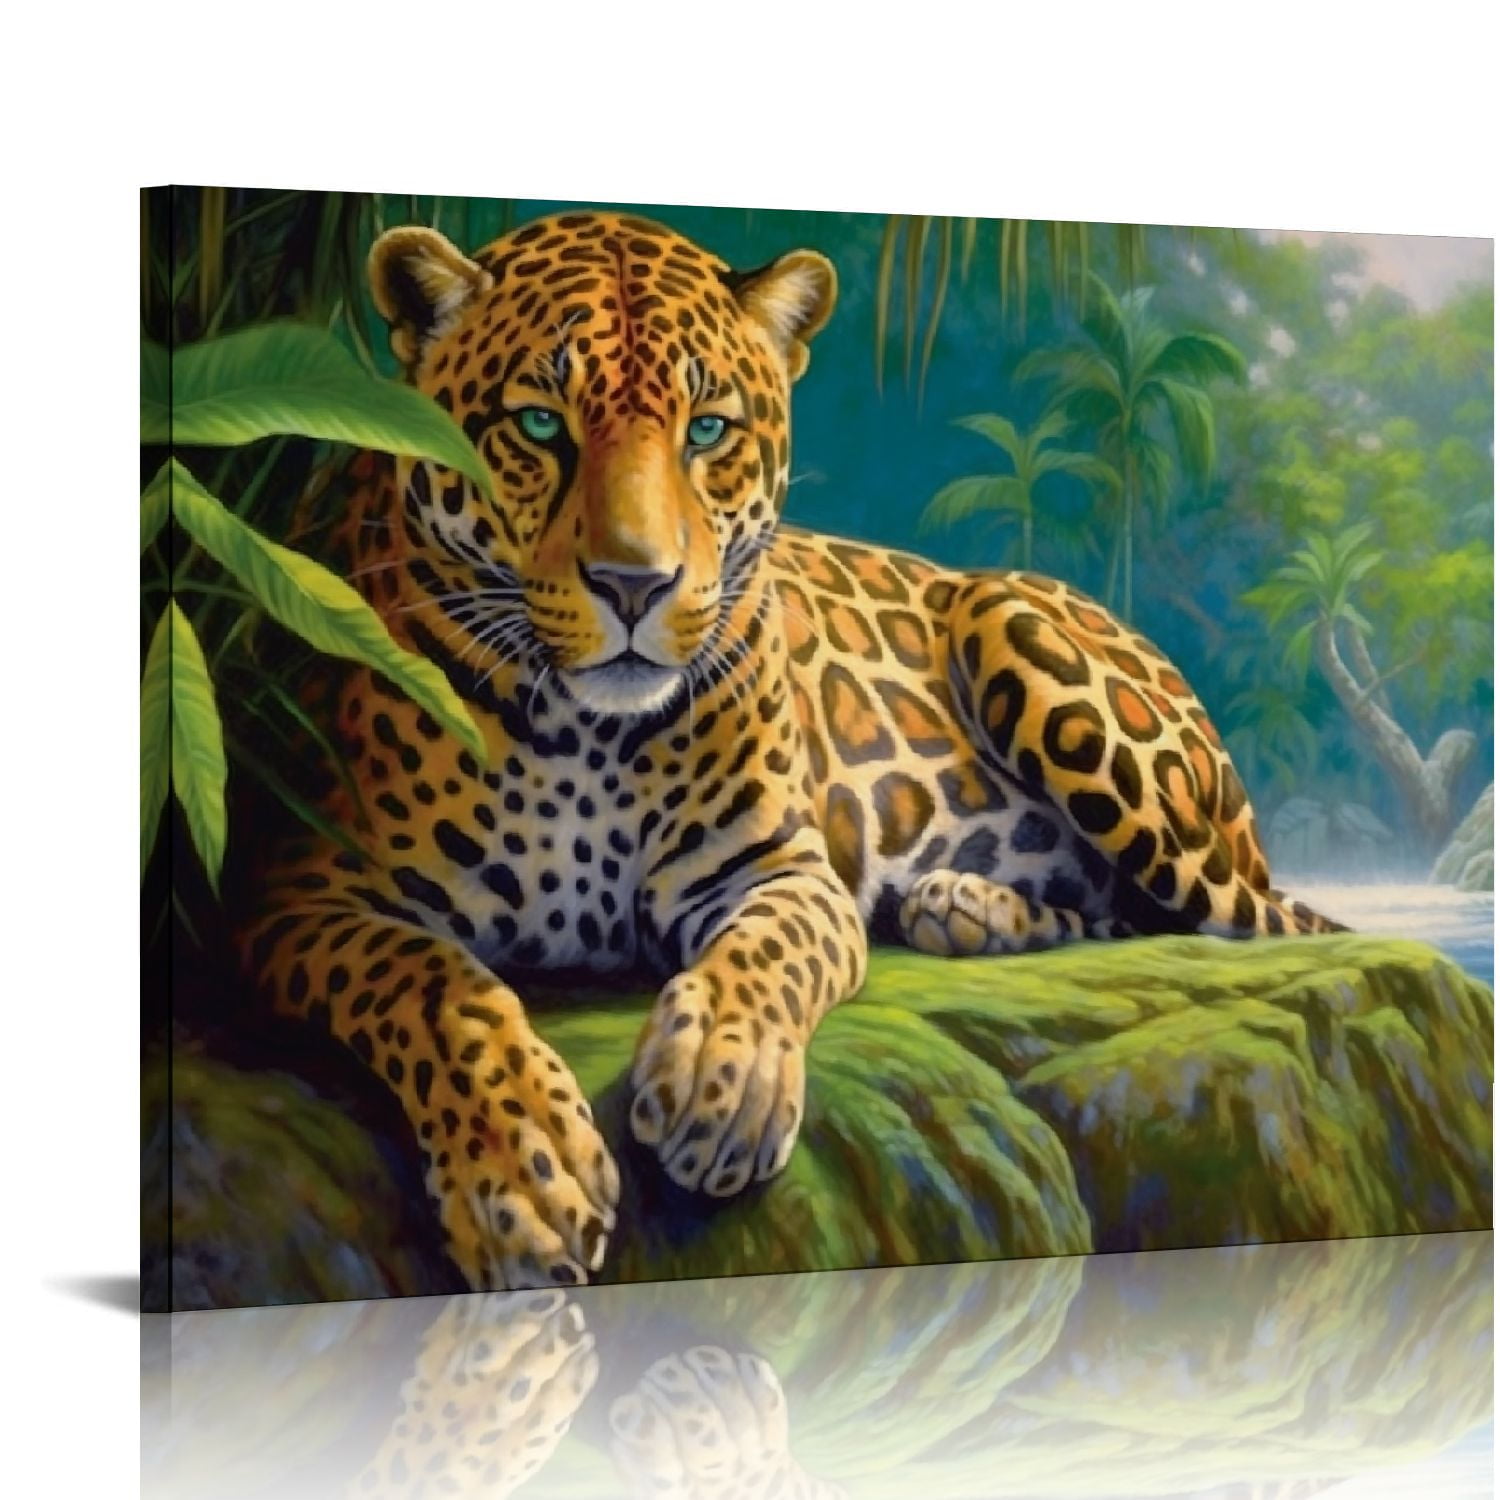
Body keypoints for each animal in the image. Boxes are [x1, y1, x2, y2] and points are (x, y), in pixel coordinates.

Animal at [242, 209, 1341, 1293]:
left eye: (708, 430)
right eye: (541, 424)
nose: (635, 585)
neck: (584, 734)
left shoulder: (777, 869)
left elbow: (765, 956)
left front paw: (722, 1087)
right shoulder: (303, 895)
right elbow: (434, 987)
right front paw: (520, 1173)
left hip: (1020, 631)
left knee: (1221, 920)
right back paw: (964, 907)